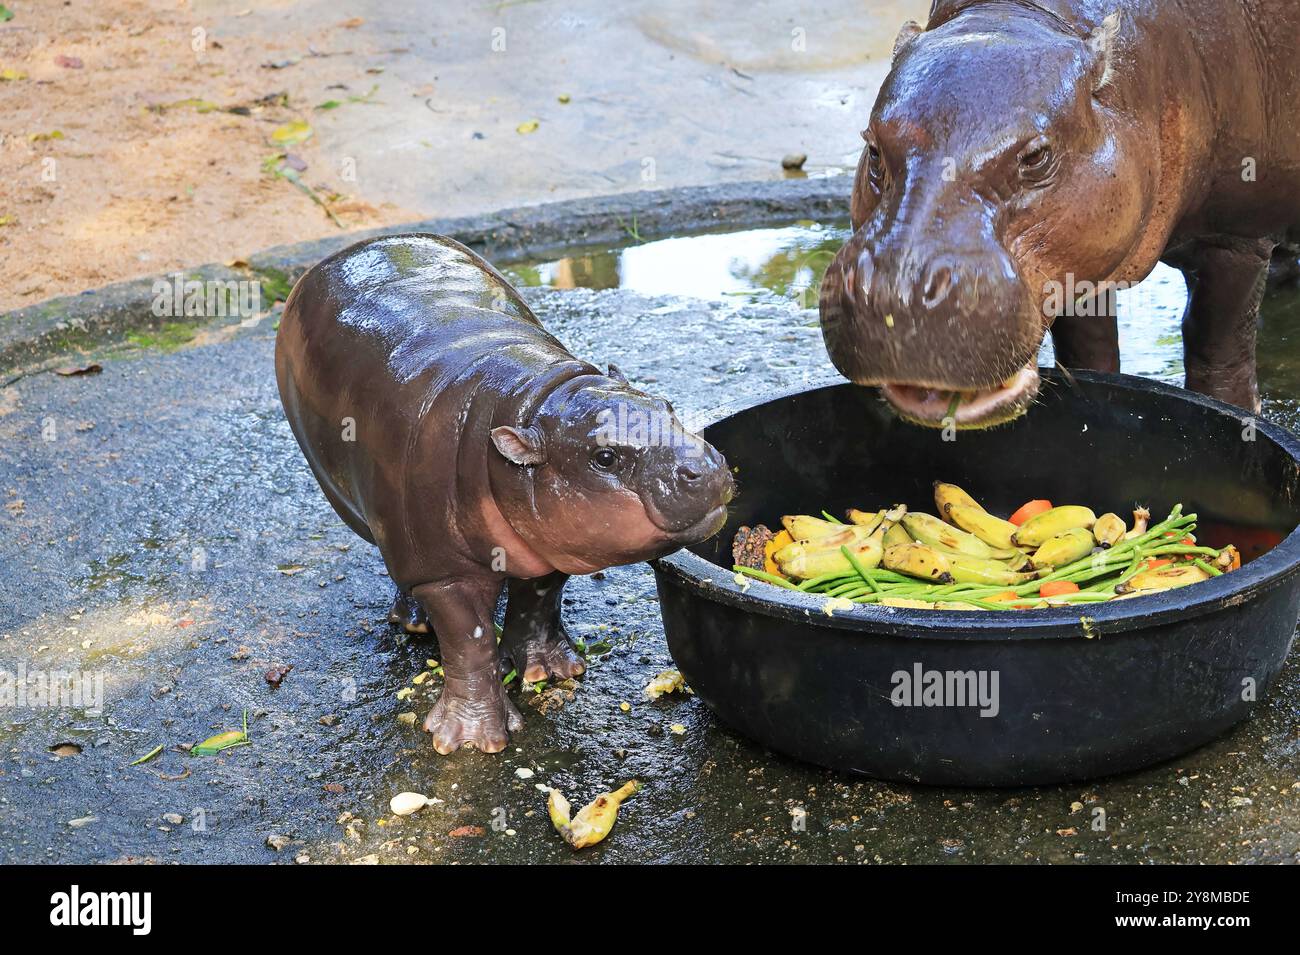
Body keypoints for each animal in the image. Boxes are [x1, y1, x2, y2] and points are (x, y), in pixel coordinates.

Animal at [275, 234, 734, 754]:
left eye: (665, 404)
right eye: (605, 457)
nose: (703, 466)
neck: (531, 401)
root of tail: (344, 252)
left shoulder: (548, 542)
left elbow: (538, 601)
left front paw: (552, 672)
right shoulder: (445, 573)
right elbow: (469, 641)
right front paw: (470, 739)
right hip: (369, 513)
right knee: (398, 563)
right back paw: (413, 621)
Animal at [819, 0, 1300, 426]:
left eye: (1035, 156)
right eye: (873, 147)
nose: (894, 291)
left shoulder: (1236, 237)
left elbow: (1216, 349)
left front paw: (1238, 411)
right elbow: (1089, 349)